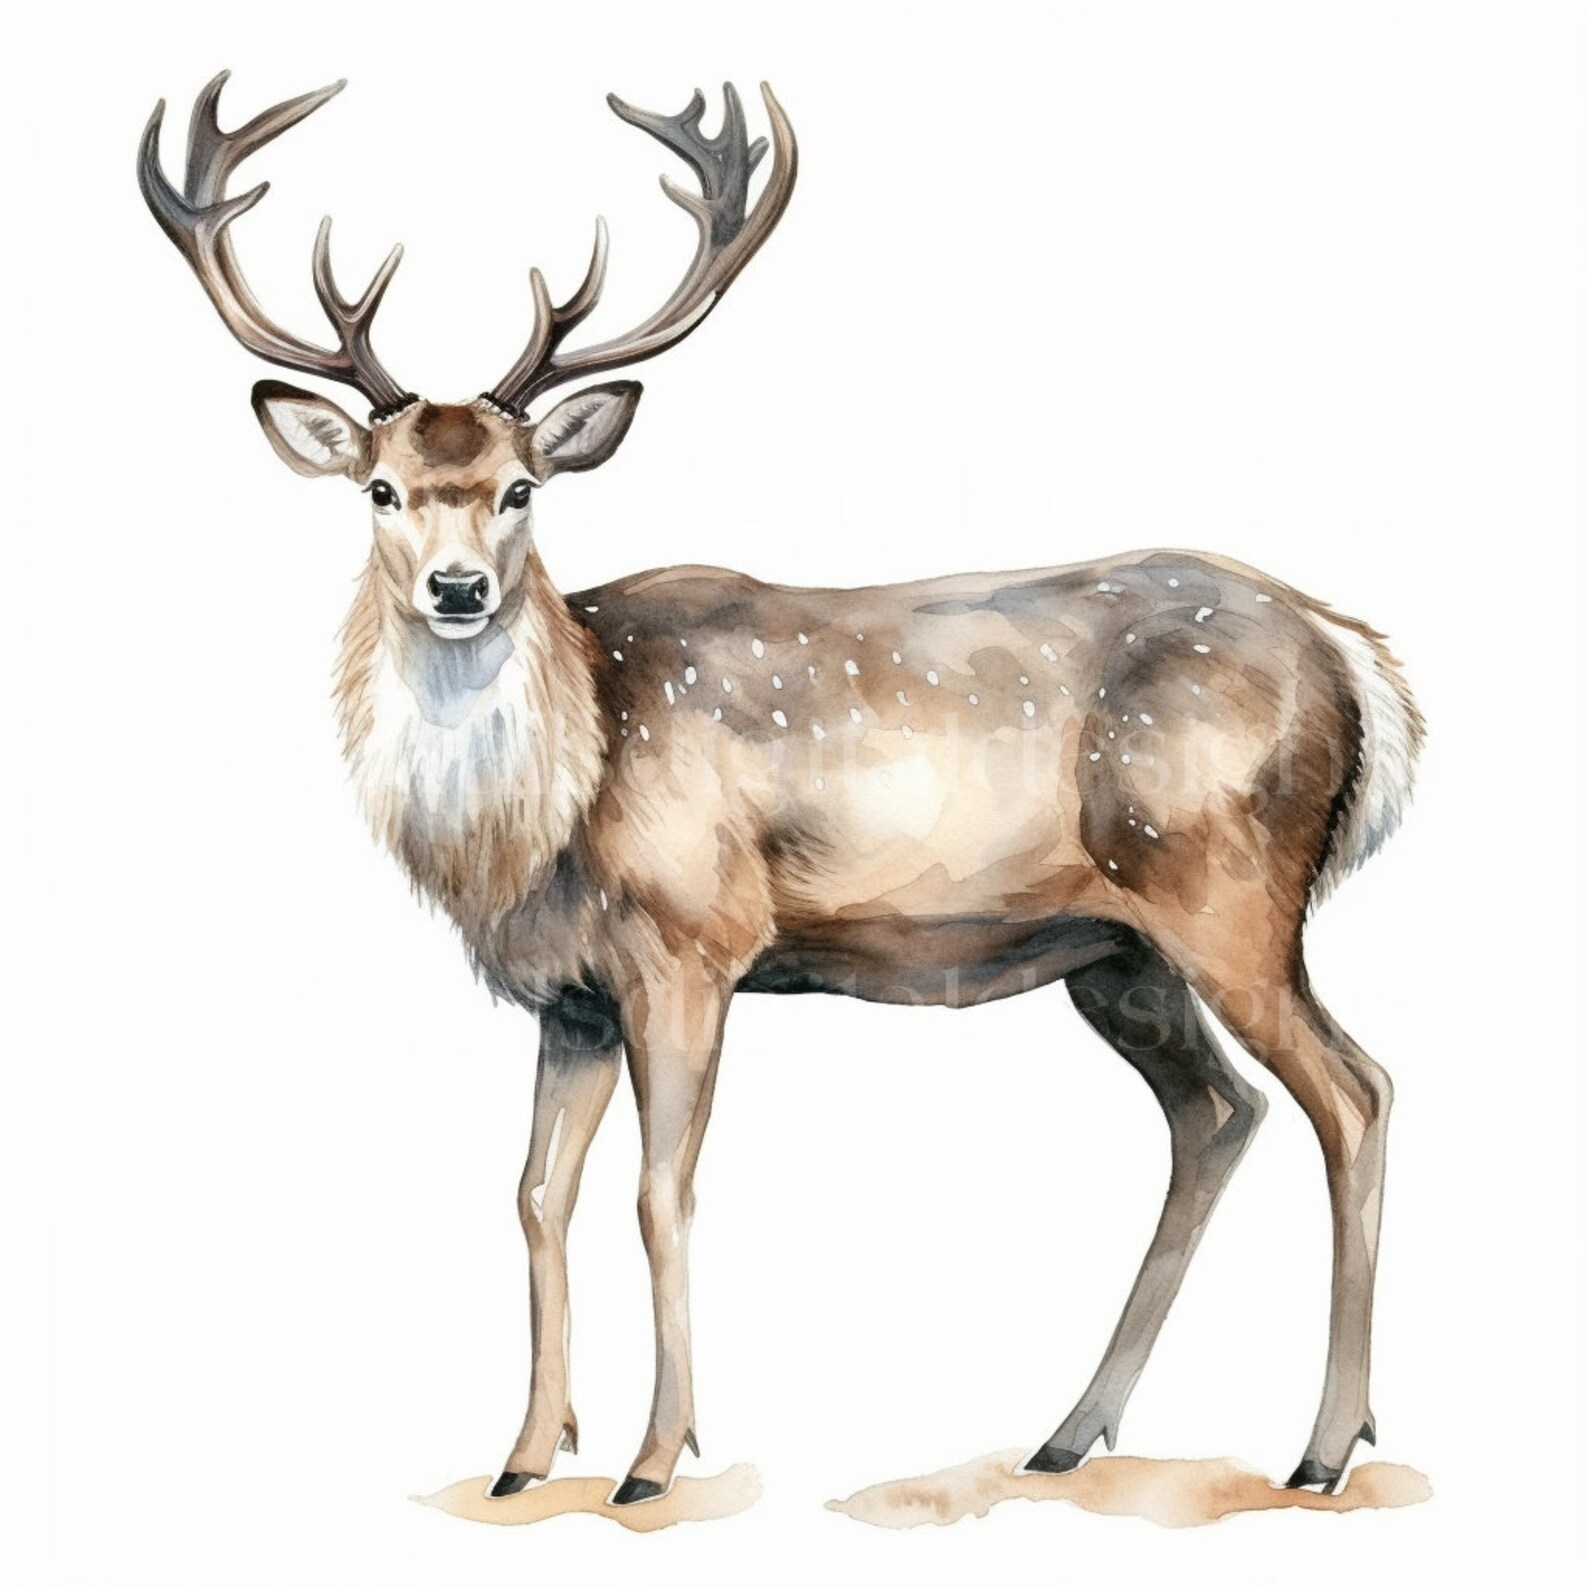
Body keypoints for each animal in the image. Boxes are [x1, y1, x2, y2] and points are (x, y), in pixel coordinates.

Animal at [139, 71, 1422, 1509]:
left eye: (522, 487)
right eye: (380, 488)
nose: (458, 588)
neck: (542, 826)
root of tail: (1359, 661)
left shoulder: (693, 943)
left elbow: (660, 1190)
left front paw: (654, 1457)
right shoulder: (570, 994)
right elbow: (533, 1195)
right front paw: (524, 1455)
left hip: (1230, 893)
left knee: (1355, 1091)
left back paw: (1323, 1446)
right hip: (1116, 953)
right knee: (1215, 1112)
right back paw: (1070, 1430)